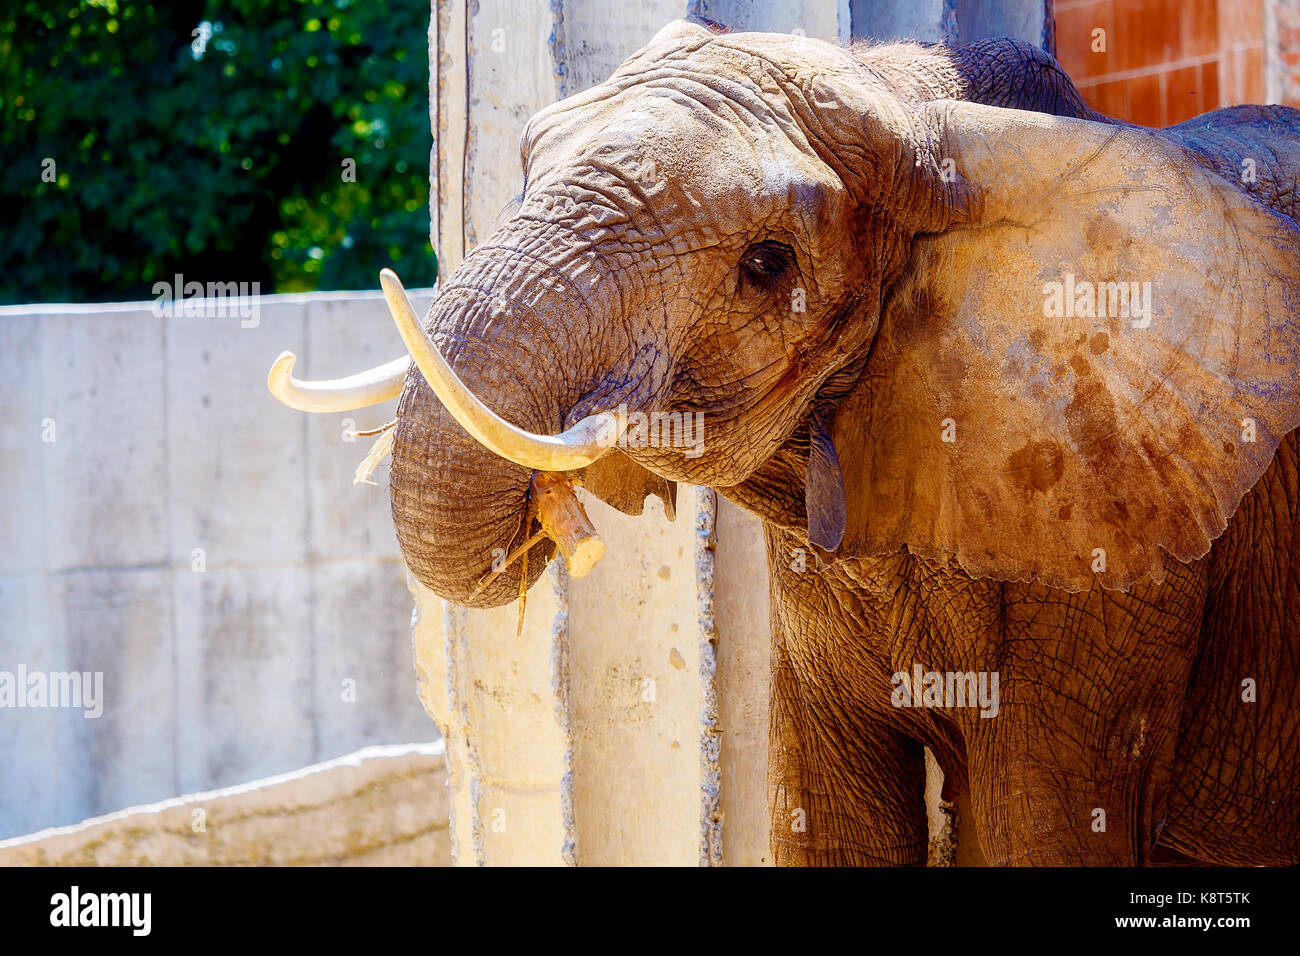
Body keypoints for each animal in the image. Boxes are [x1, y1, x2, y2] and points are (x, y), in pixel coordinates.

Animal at [269, 19, 1300, 865]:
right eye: (523, 164)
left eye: (767, 266)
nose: (547, 521)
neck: (919, 106)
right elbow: (828, 822)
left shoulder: (1121, 536)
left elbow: (1043, 824)